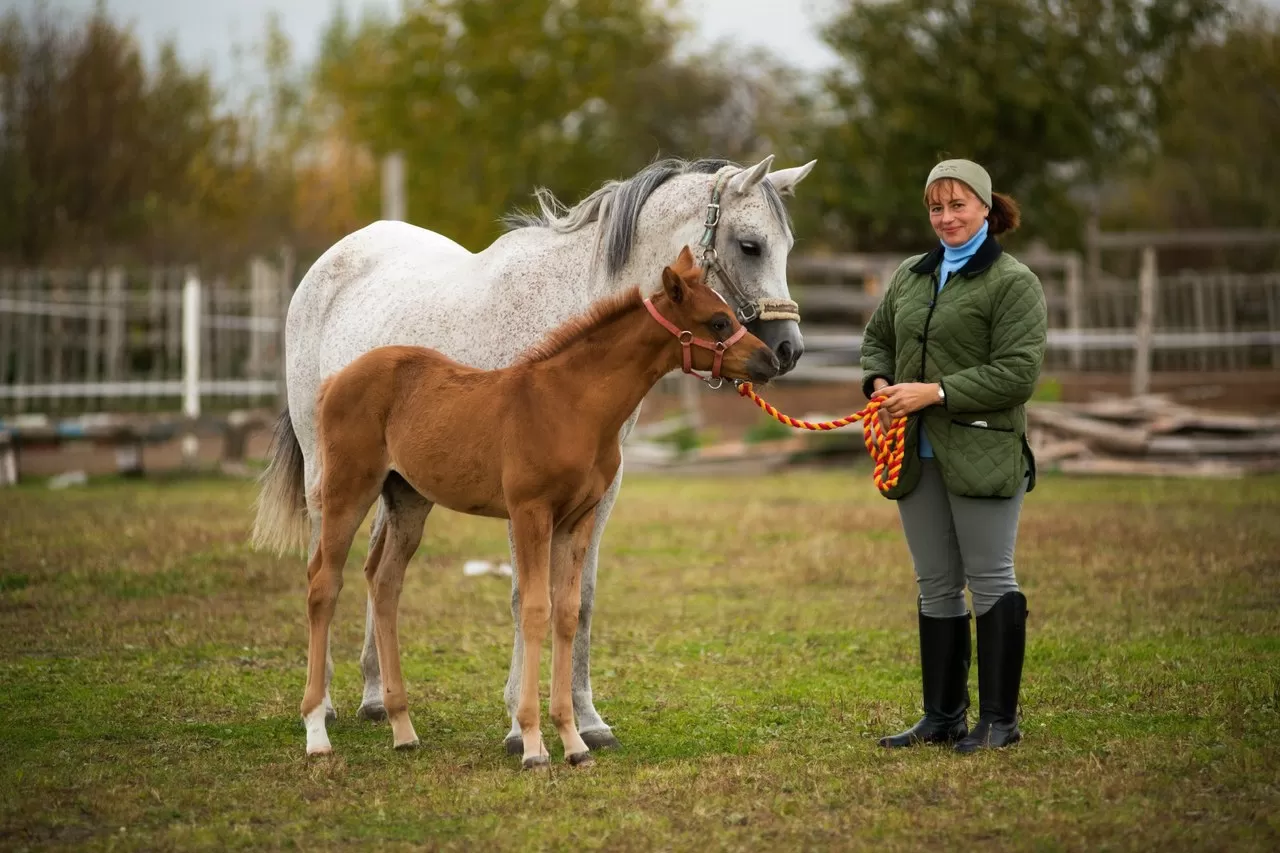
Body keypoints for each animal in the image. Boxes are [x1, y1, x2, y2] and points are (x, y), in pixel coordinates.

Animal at [249, 153, 819, 753]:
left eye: (787, 245)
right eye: (750, 245)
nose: (787, 351)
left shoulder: (598, 496)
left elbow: (580, 599)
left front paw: (587, 721)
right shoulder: (524, 502)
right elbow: (527, 596)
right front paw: (519, 729)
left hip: (404, 488)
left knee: (378, 574)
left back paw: (378, 697)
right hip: (330, 475)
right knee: (324, 570)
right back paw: (326, 708)